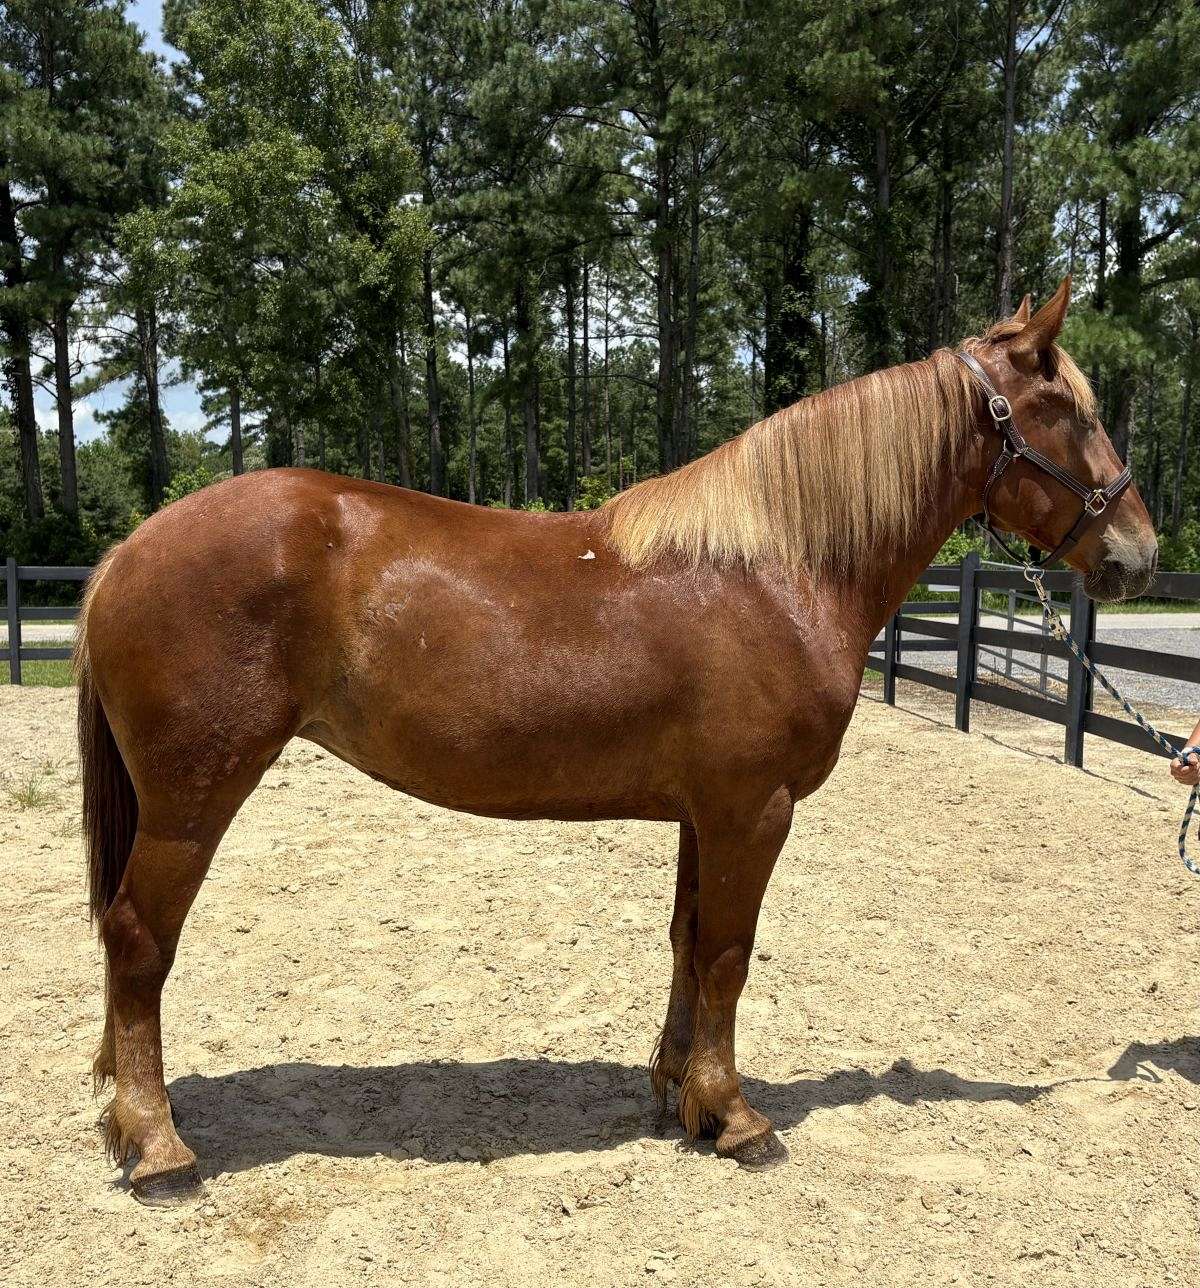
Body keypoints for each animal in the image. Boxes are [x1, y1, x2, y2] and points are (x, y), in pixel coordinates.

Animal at [76, 277, 1156, 1205]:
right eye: (1070, 409)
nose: (1139, 555)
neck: (778, 570)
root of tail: (126, 552)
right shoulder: (752, 809)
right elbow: (728, 952)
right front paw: (738, 1118)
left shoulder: (705, 812)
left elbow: (689, 942)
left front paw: (681, 1095)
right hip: (192, 801)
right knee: (138, 940)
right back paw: (160, 1146)